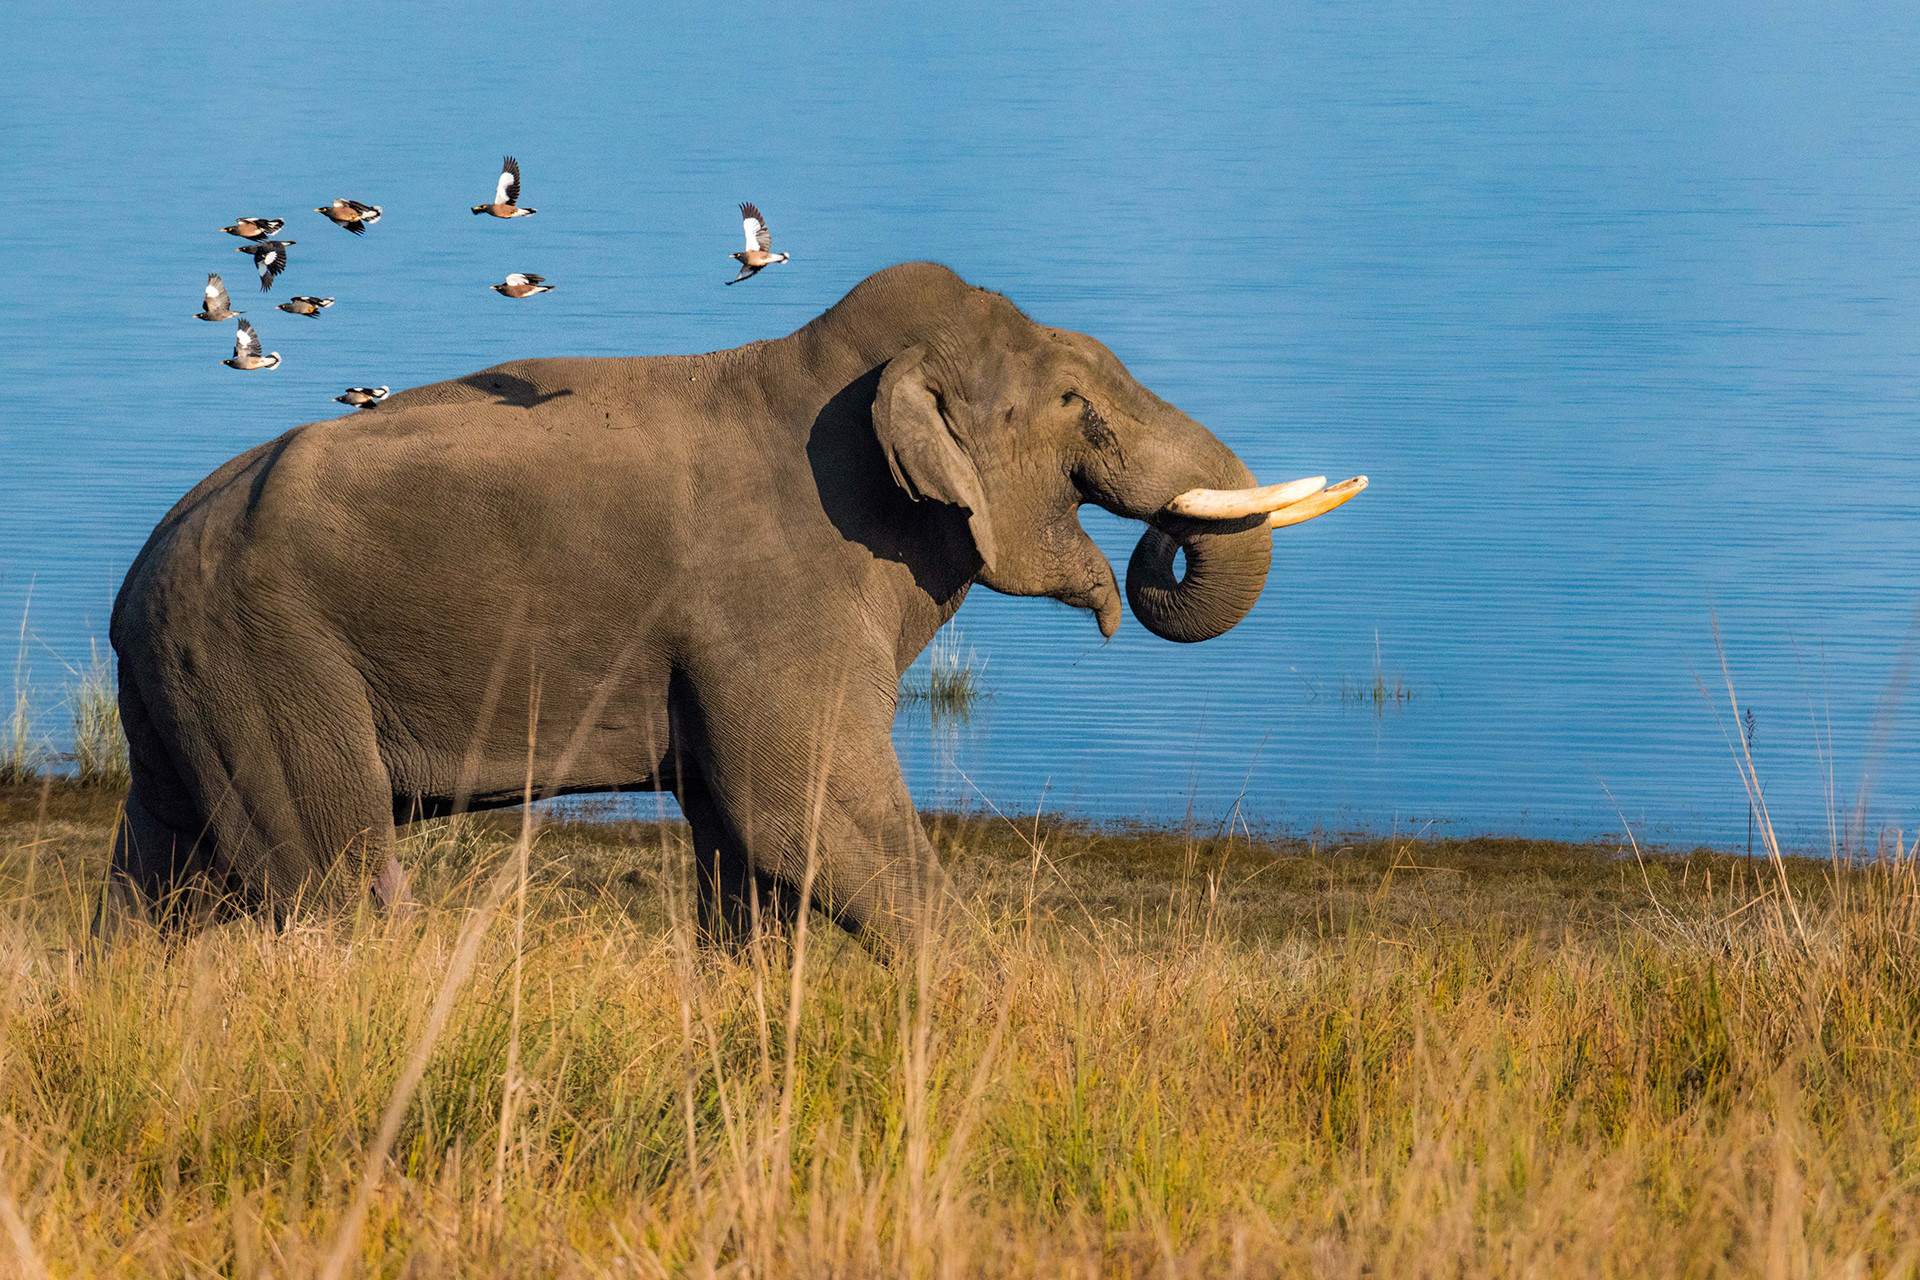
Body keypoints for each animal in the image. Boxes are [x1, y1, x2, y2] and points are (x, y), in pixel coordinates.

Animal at [105, 262, 1364, 956]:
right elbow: (806, 817)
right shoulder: (777, 605)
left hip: (190, 680)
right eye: (1072, 403)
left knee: (159, 885)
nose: (1159, 539)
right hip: (264, 655)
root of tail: (138, 574)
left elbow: (746, 859)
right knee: (332, 876)